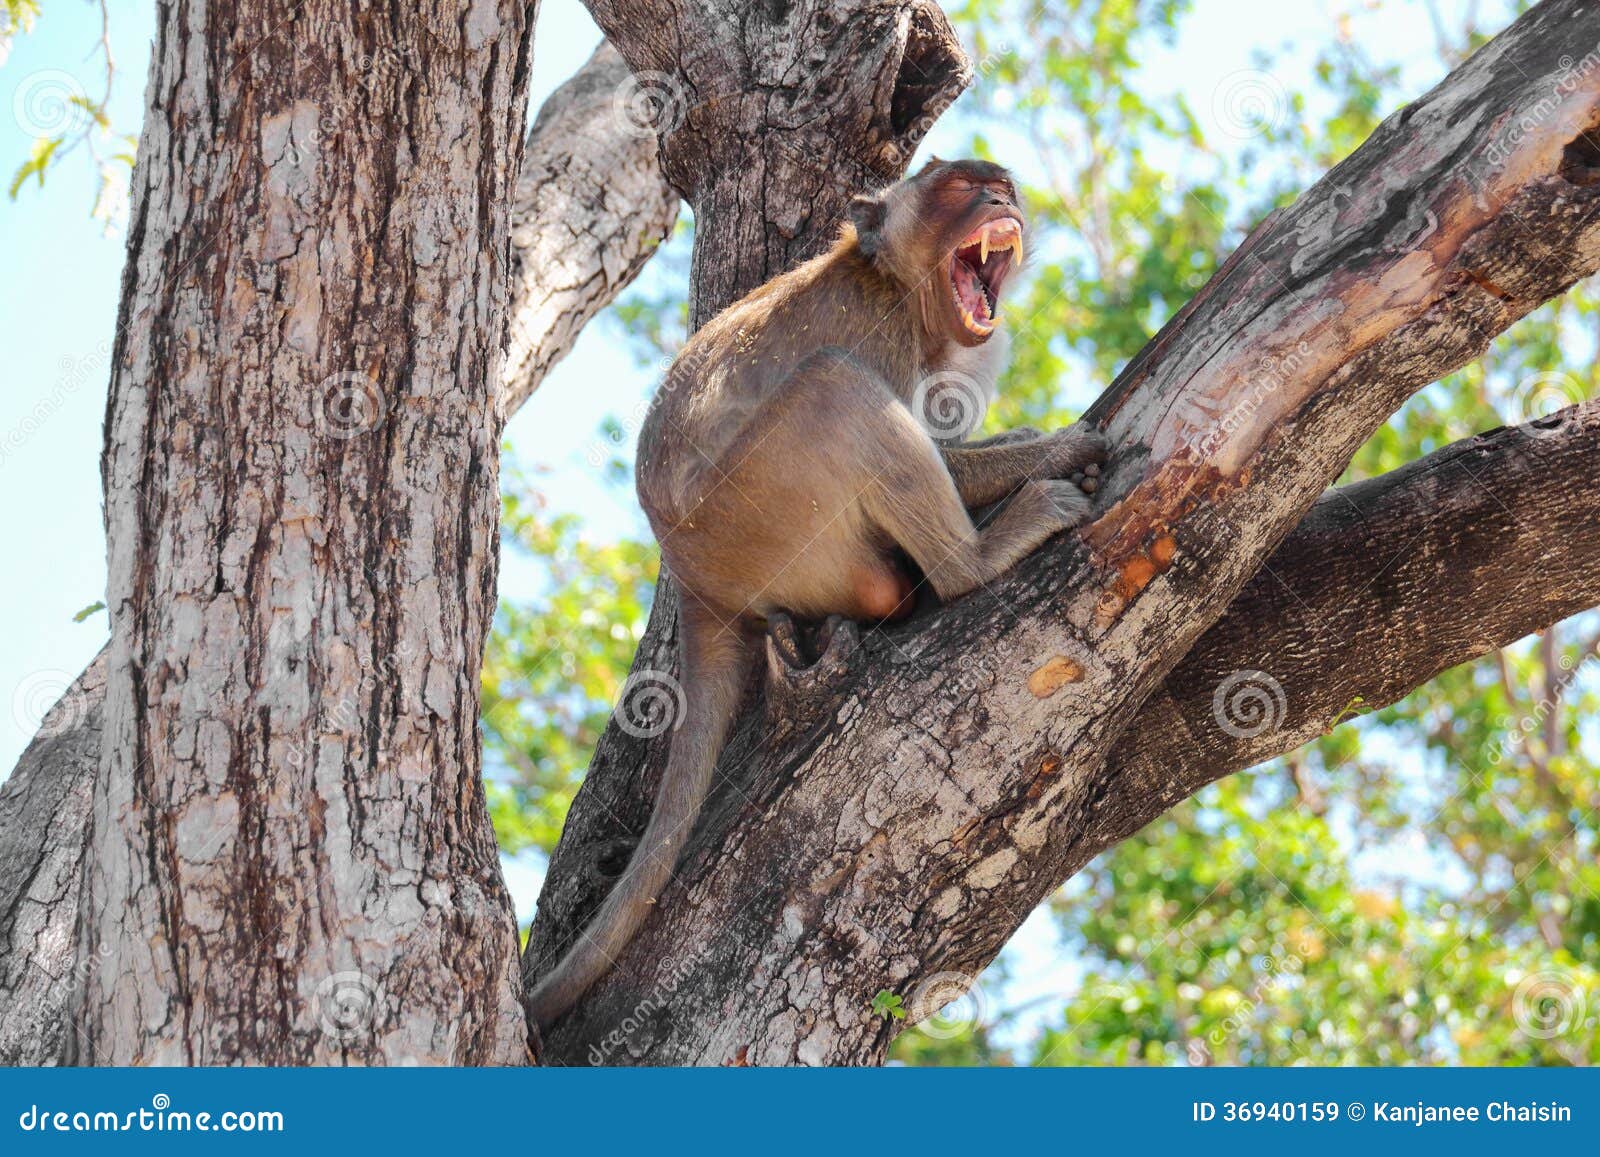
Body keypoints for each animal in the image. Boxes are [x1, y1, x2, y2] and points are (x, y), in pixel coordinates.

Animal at [525, 158, 1107, 1032]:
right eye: (956, 188)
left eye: (999, 185)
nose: (996, 201)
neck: (906, 292)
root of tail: (689, 576)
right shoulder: (879, 332)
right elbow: (937, 447)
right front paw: (1061, 445)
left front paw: (1021, 438)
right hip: (762, 509)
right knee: (834, 389)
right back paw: (972, 561)